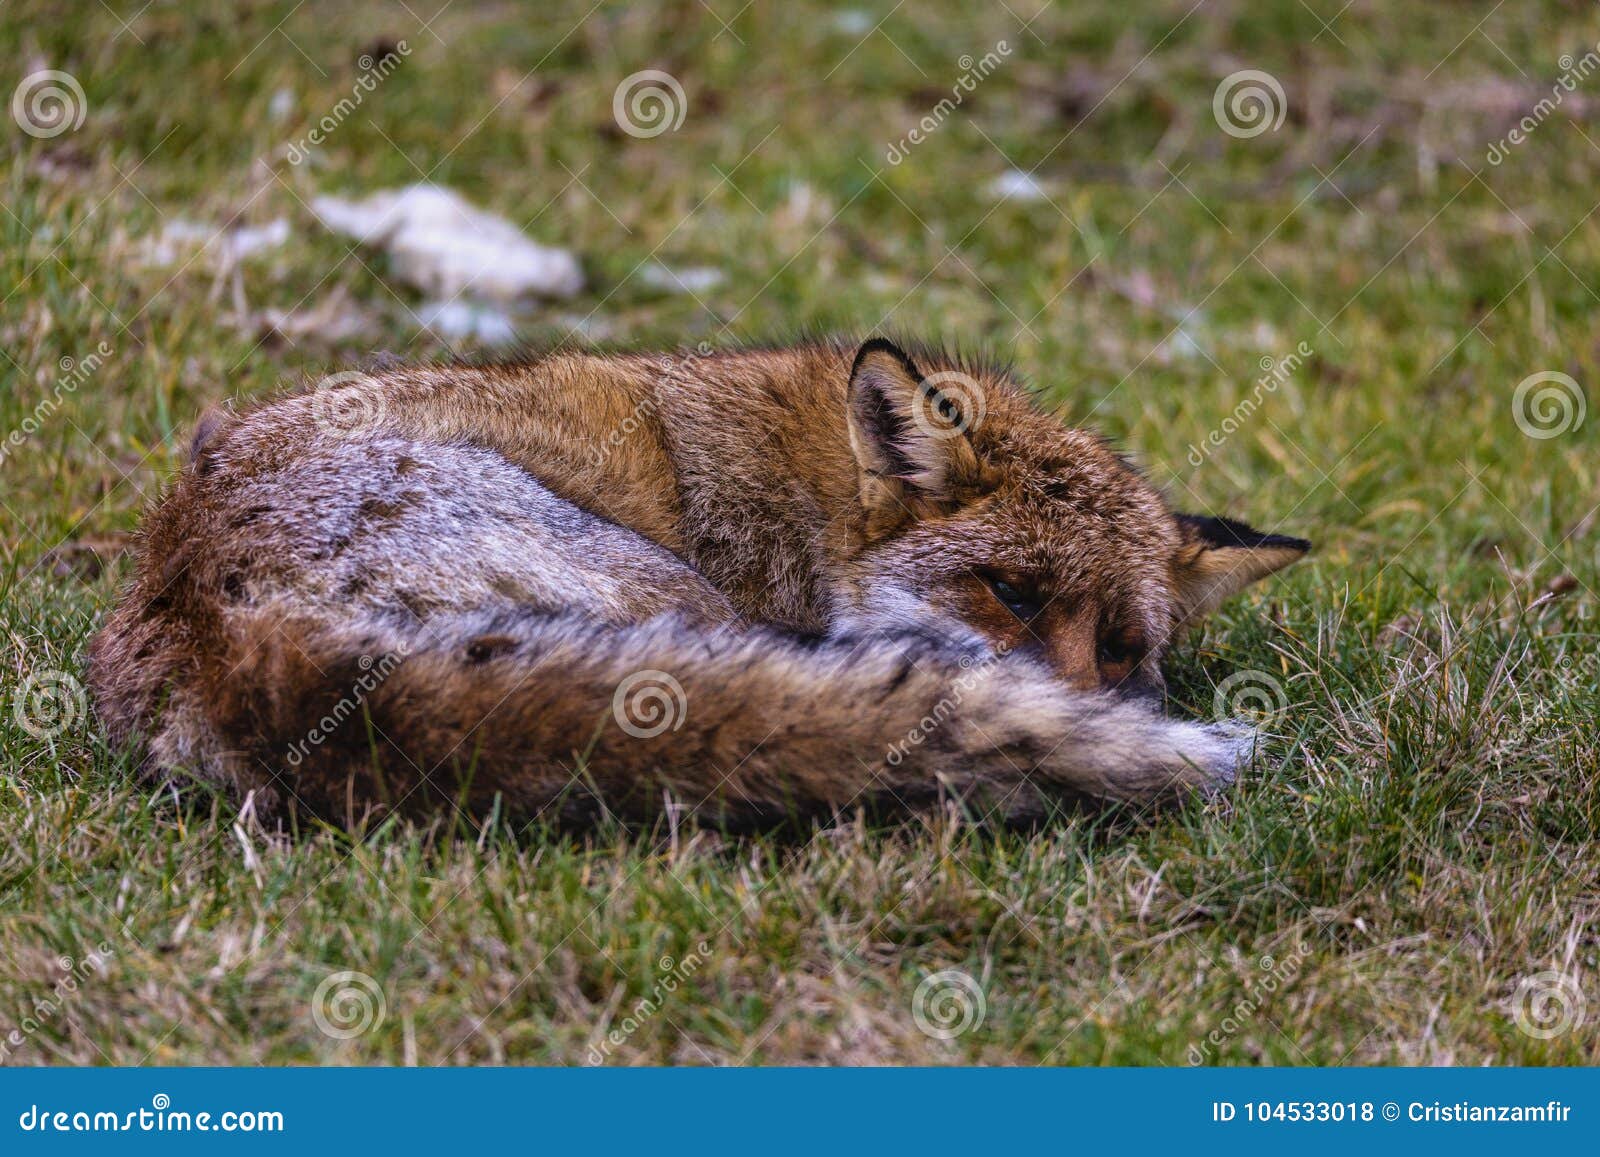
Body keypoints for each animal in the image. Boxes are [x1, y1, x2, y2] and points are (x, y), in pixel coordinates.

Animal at [87, 337, 1309, 830]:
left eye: (1122, 645)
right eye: (1006, 594)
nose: (1099, 701)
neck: (804, 508)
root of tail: (205, 608)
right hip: (665, 596)